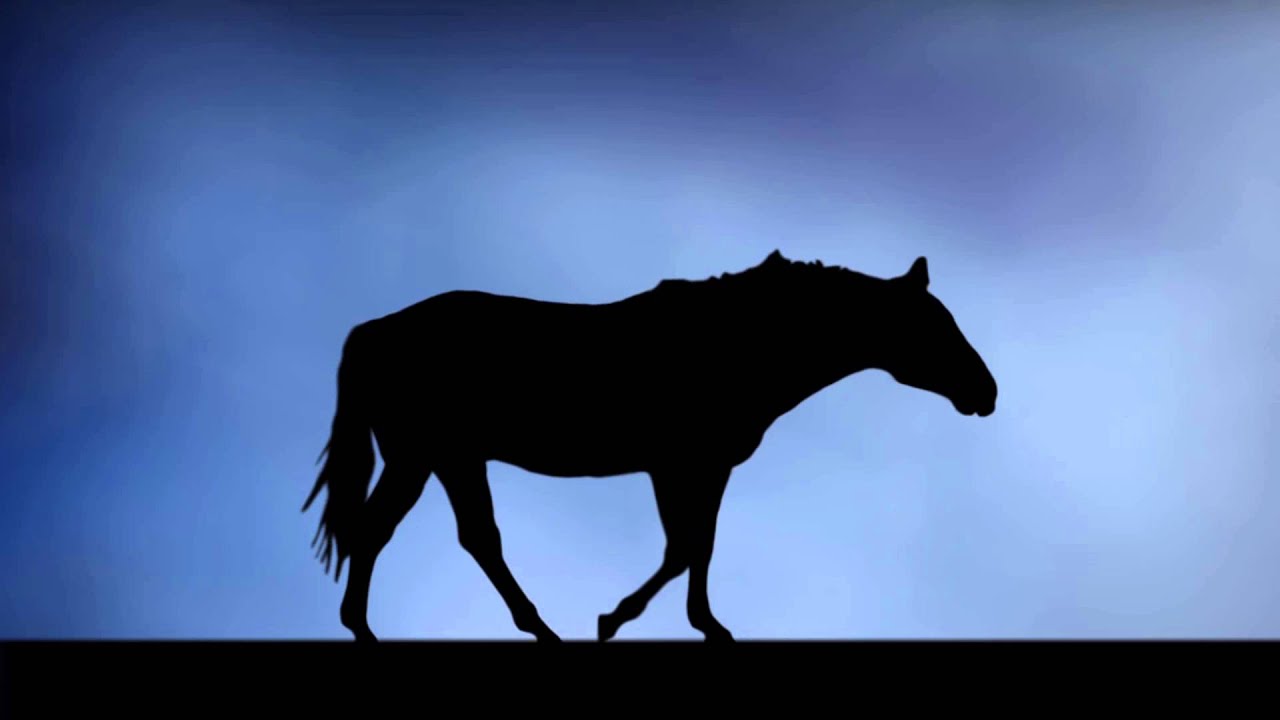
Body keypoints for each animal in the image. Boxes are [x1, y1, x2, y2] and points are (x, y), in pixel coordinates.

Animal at [302, 249, 998, 642]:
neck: (741, 343)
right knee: (398, 534)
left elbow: (696, 546)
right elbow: (687, 546)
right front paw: (622, 620)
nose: (986, 391)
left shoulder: (697, 468)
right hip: (425, 455)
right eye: (931, 325)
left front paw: (694, 624)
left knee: (445, 537)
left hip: (445, 459)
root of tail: (372, 331)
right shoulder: (682, 464)